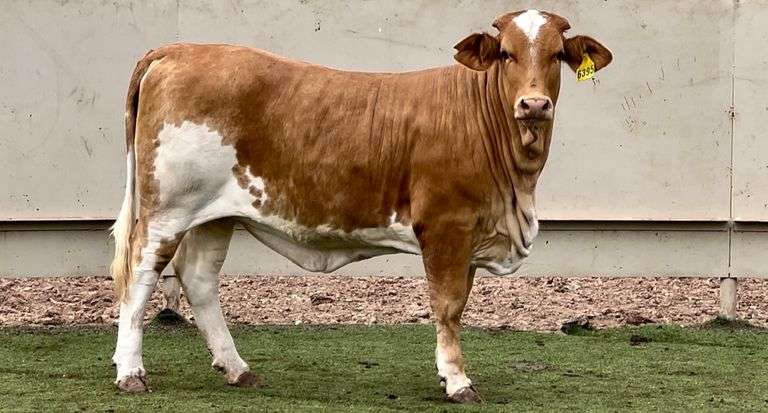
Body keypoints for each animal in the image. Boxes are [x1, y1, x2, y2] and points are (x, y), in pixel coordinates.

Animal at [110, 9, 612, 403]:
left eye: (557, 55)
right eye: (506, 53)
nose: (534, 104)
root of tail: (177, 50)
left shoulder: (470, 235)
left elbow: (458, 304)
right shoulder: (446, 225)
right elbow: (448, 306)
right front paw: (457, 381)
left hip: (216, 213)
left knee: (199, 279)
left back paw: (237, 369)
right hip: (167, 210)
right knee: (140, 275)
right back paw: (130, 372)